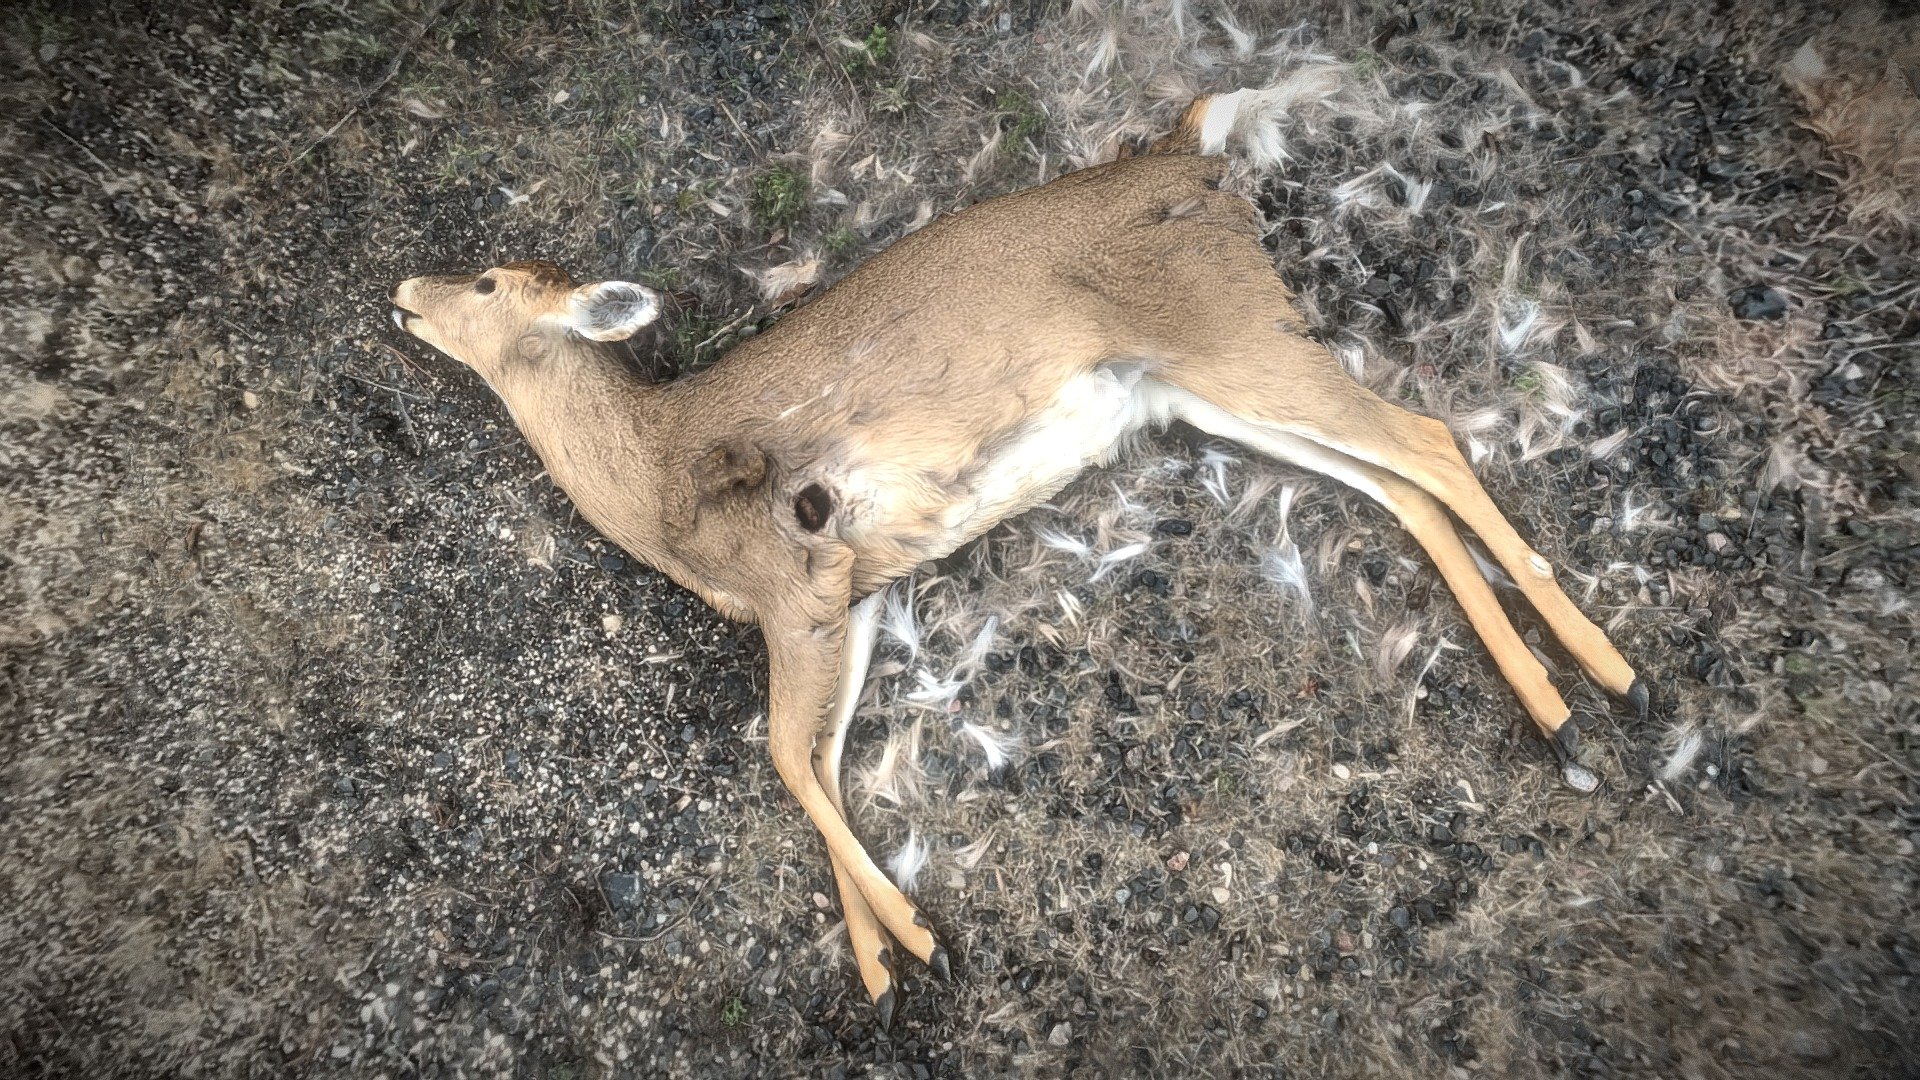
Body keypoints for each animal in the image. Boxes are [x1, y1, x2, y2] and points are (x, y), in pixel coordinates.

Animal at [390, 86, 1647, 1024]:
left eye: (490, 281)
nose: (403, 291)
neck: (652, 484)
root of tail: (1187, 154)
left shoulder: (798, 587)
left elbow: (785, 760)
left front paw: (915, 939)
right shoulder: (854, 594)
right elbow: (823, 763)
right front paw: (880, 965)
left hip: (1234, 333)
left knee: (1429, 441)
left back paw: (1606, 685)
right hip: (1195, 388)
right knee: (1398, 485)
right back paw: (1565, 711)